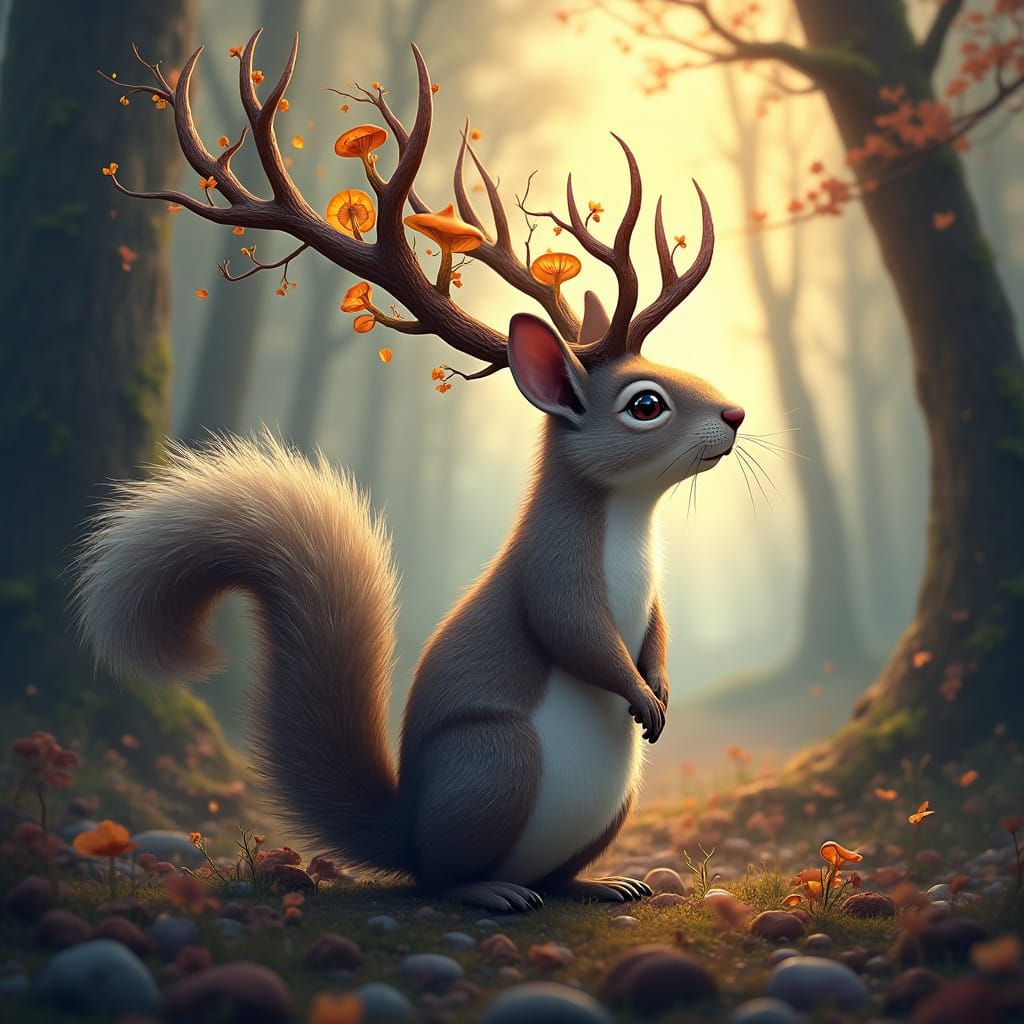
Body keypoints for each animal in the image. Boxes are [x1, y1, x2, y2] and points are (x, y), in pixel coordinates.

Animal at [75, 293, 743, 912]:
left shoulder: (651, 596)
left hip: (609, 802)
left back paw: (598, 884)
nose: (736, 413)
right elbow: (577, 636)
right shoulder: (552, 572)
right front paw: (640, 695)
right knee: (440, 879)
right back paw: (489, 891)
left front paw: (659, 686)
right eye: (645, 404)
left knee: (550, 878)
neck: (629, 518)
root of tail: (408, 835)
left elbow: (655, 632)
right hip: (498, 760)